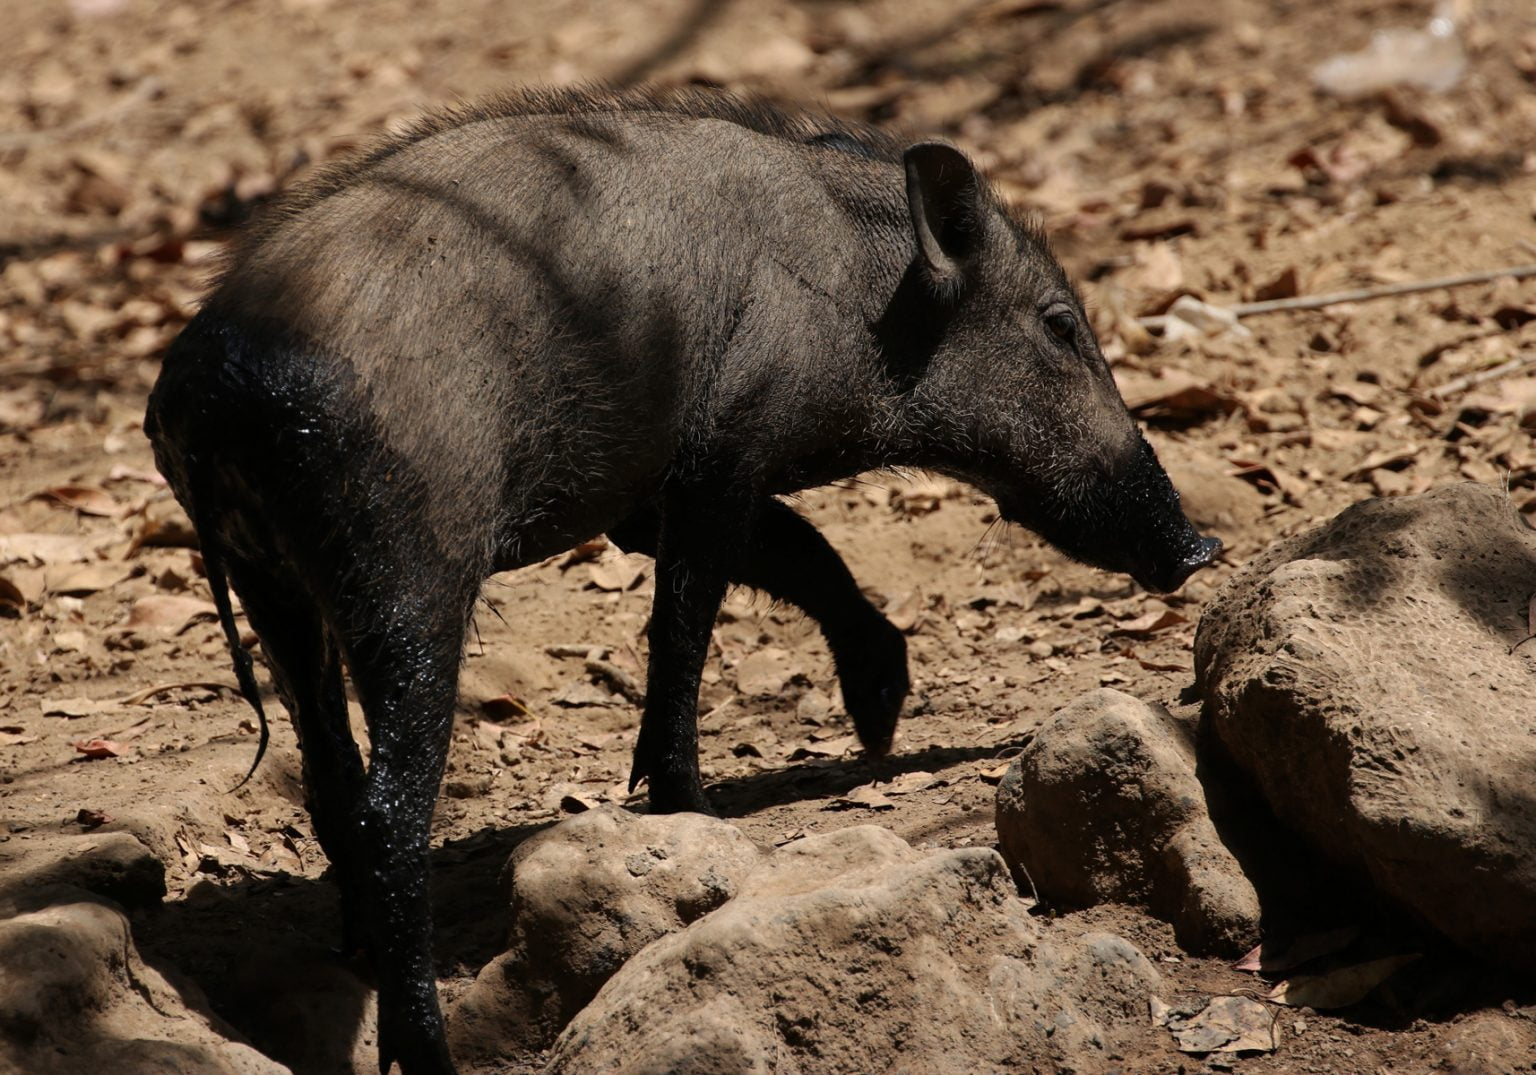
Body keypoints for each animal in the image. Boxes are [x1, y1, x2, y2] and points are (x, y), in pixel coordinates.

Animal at [145, 86, 1219, 1074]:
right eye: (1061, 324)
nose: (1200, 547)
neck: (859, 295)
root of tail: (215, 388)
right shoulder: (722, 454)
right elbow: (690, 621)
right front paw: (696, 808)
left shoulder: (650, 491)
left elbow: (792, 552)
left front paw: (878, 716)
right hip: (407, 584)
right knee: (386, 814)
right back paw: (428, 1049)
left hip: (275, 587)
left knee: (329, 782)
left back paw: (355, 956)